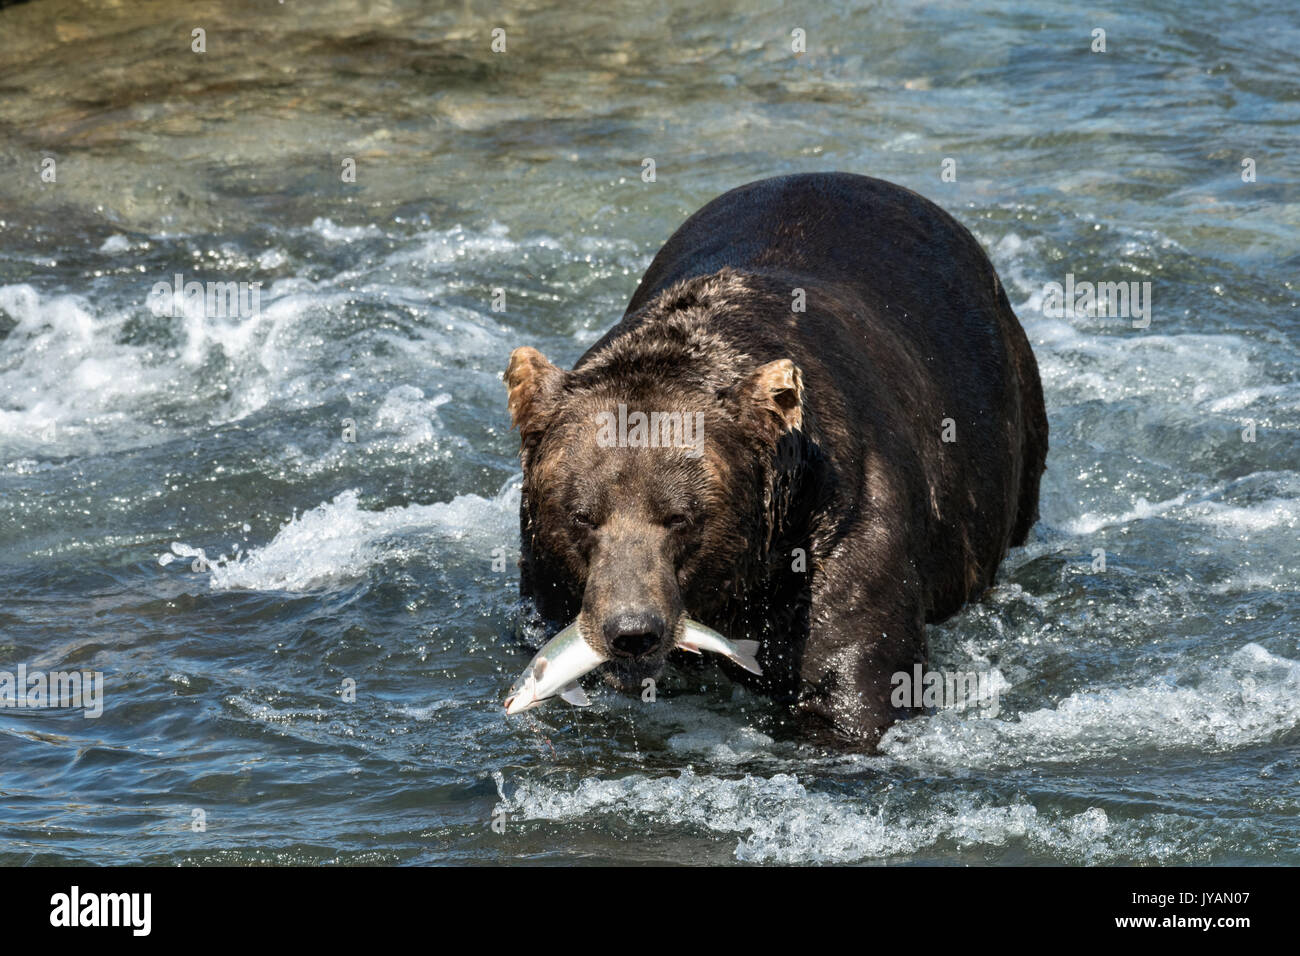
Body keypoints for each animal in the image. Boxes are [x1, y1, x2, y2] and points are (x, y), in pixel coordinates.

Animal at [504, 172, 1048, 747]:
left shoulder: (837, 536)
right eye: (582, 515)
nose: (632, 631)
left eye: (680, 517)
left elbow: (859, 690)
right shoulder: (549, 578)